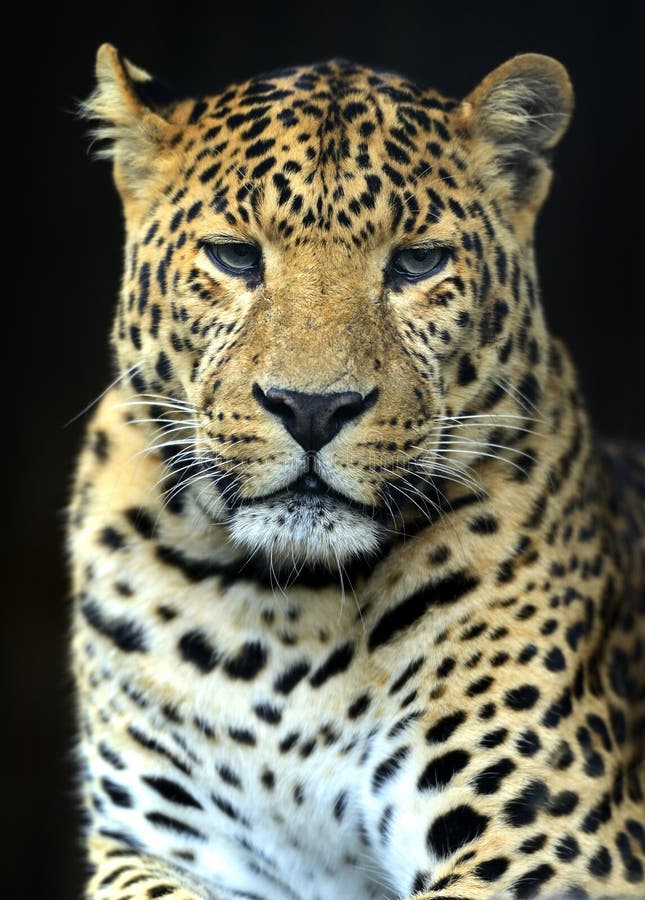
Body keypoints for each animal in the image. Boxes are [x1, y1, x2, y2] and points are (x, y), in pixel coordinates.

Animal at [68, 43, 645, 900]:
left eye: (417, 263)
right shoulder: (149, 845)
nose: (312, 408)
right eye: (234, 256)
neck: (280, 616)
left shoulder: (548, 841)